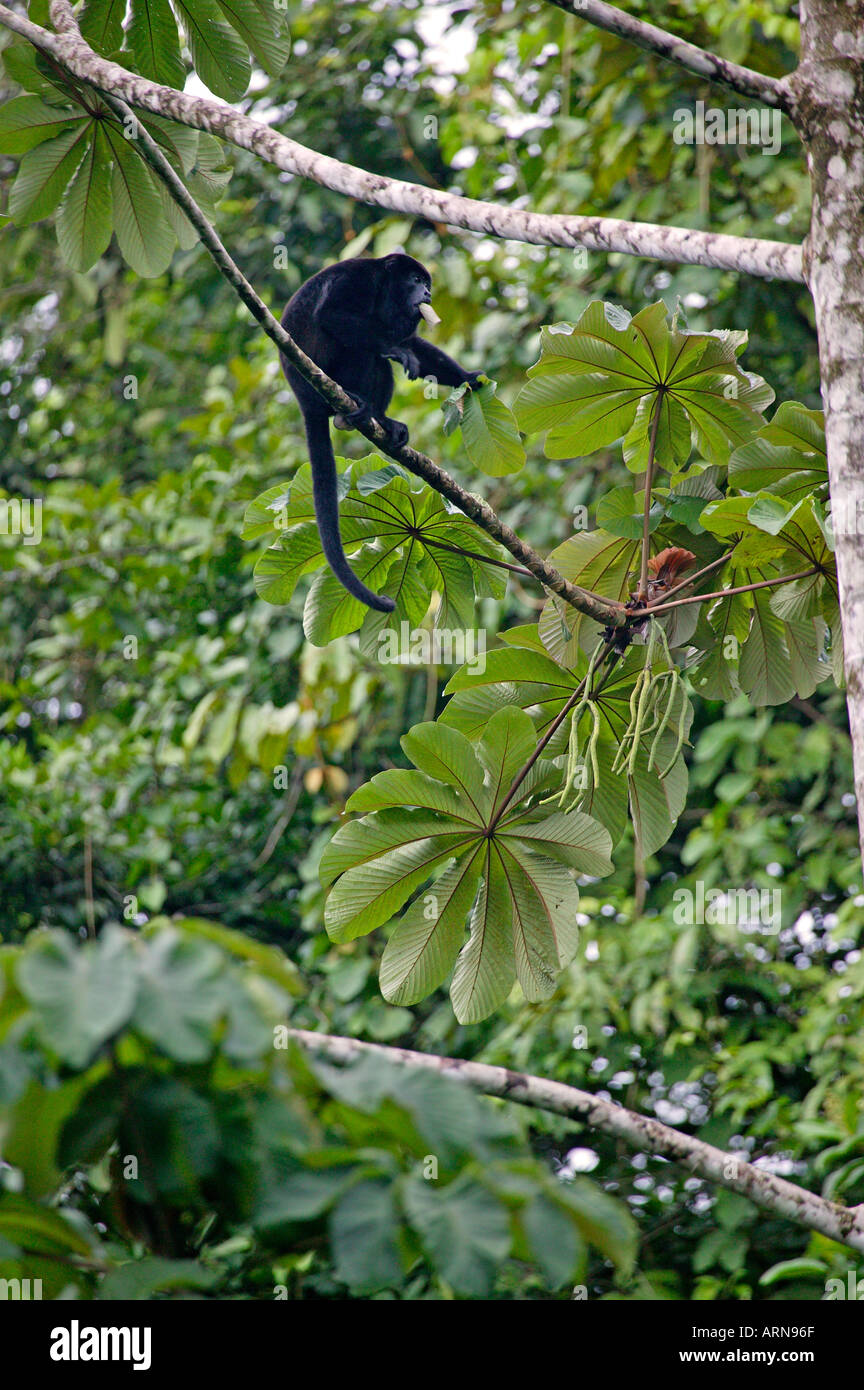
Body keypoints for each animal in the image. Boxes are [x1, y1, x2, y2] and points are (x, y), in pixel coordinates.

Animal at [280, 252, 481, 612]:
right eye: (416, 280)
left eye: (427, 283)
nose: (428, 293)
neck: (385, 285)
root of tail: (304, 400)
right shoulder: (359, 278)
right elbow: (332, 314)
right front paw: (399, 352)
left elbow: (413, 343)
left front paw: (468, 376)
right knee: (363, 350)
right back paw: (357, 403)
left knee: (380, 363)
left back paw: (383, 421)